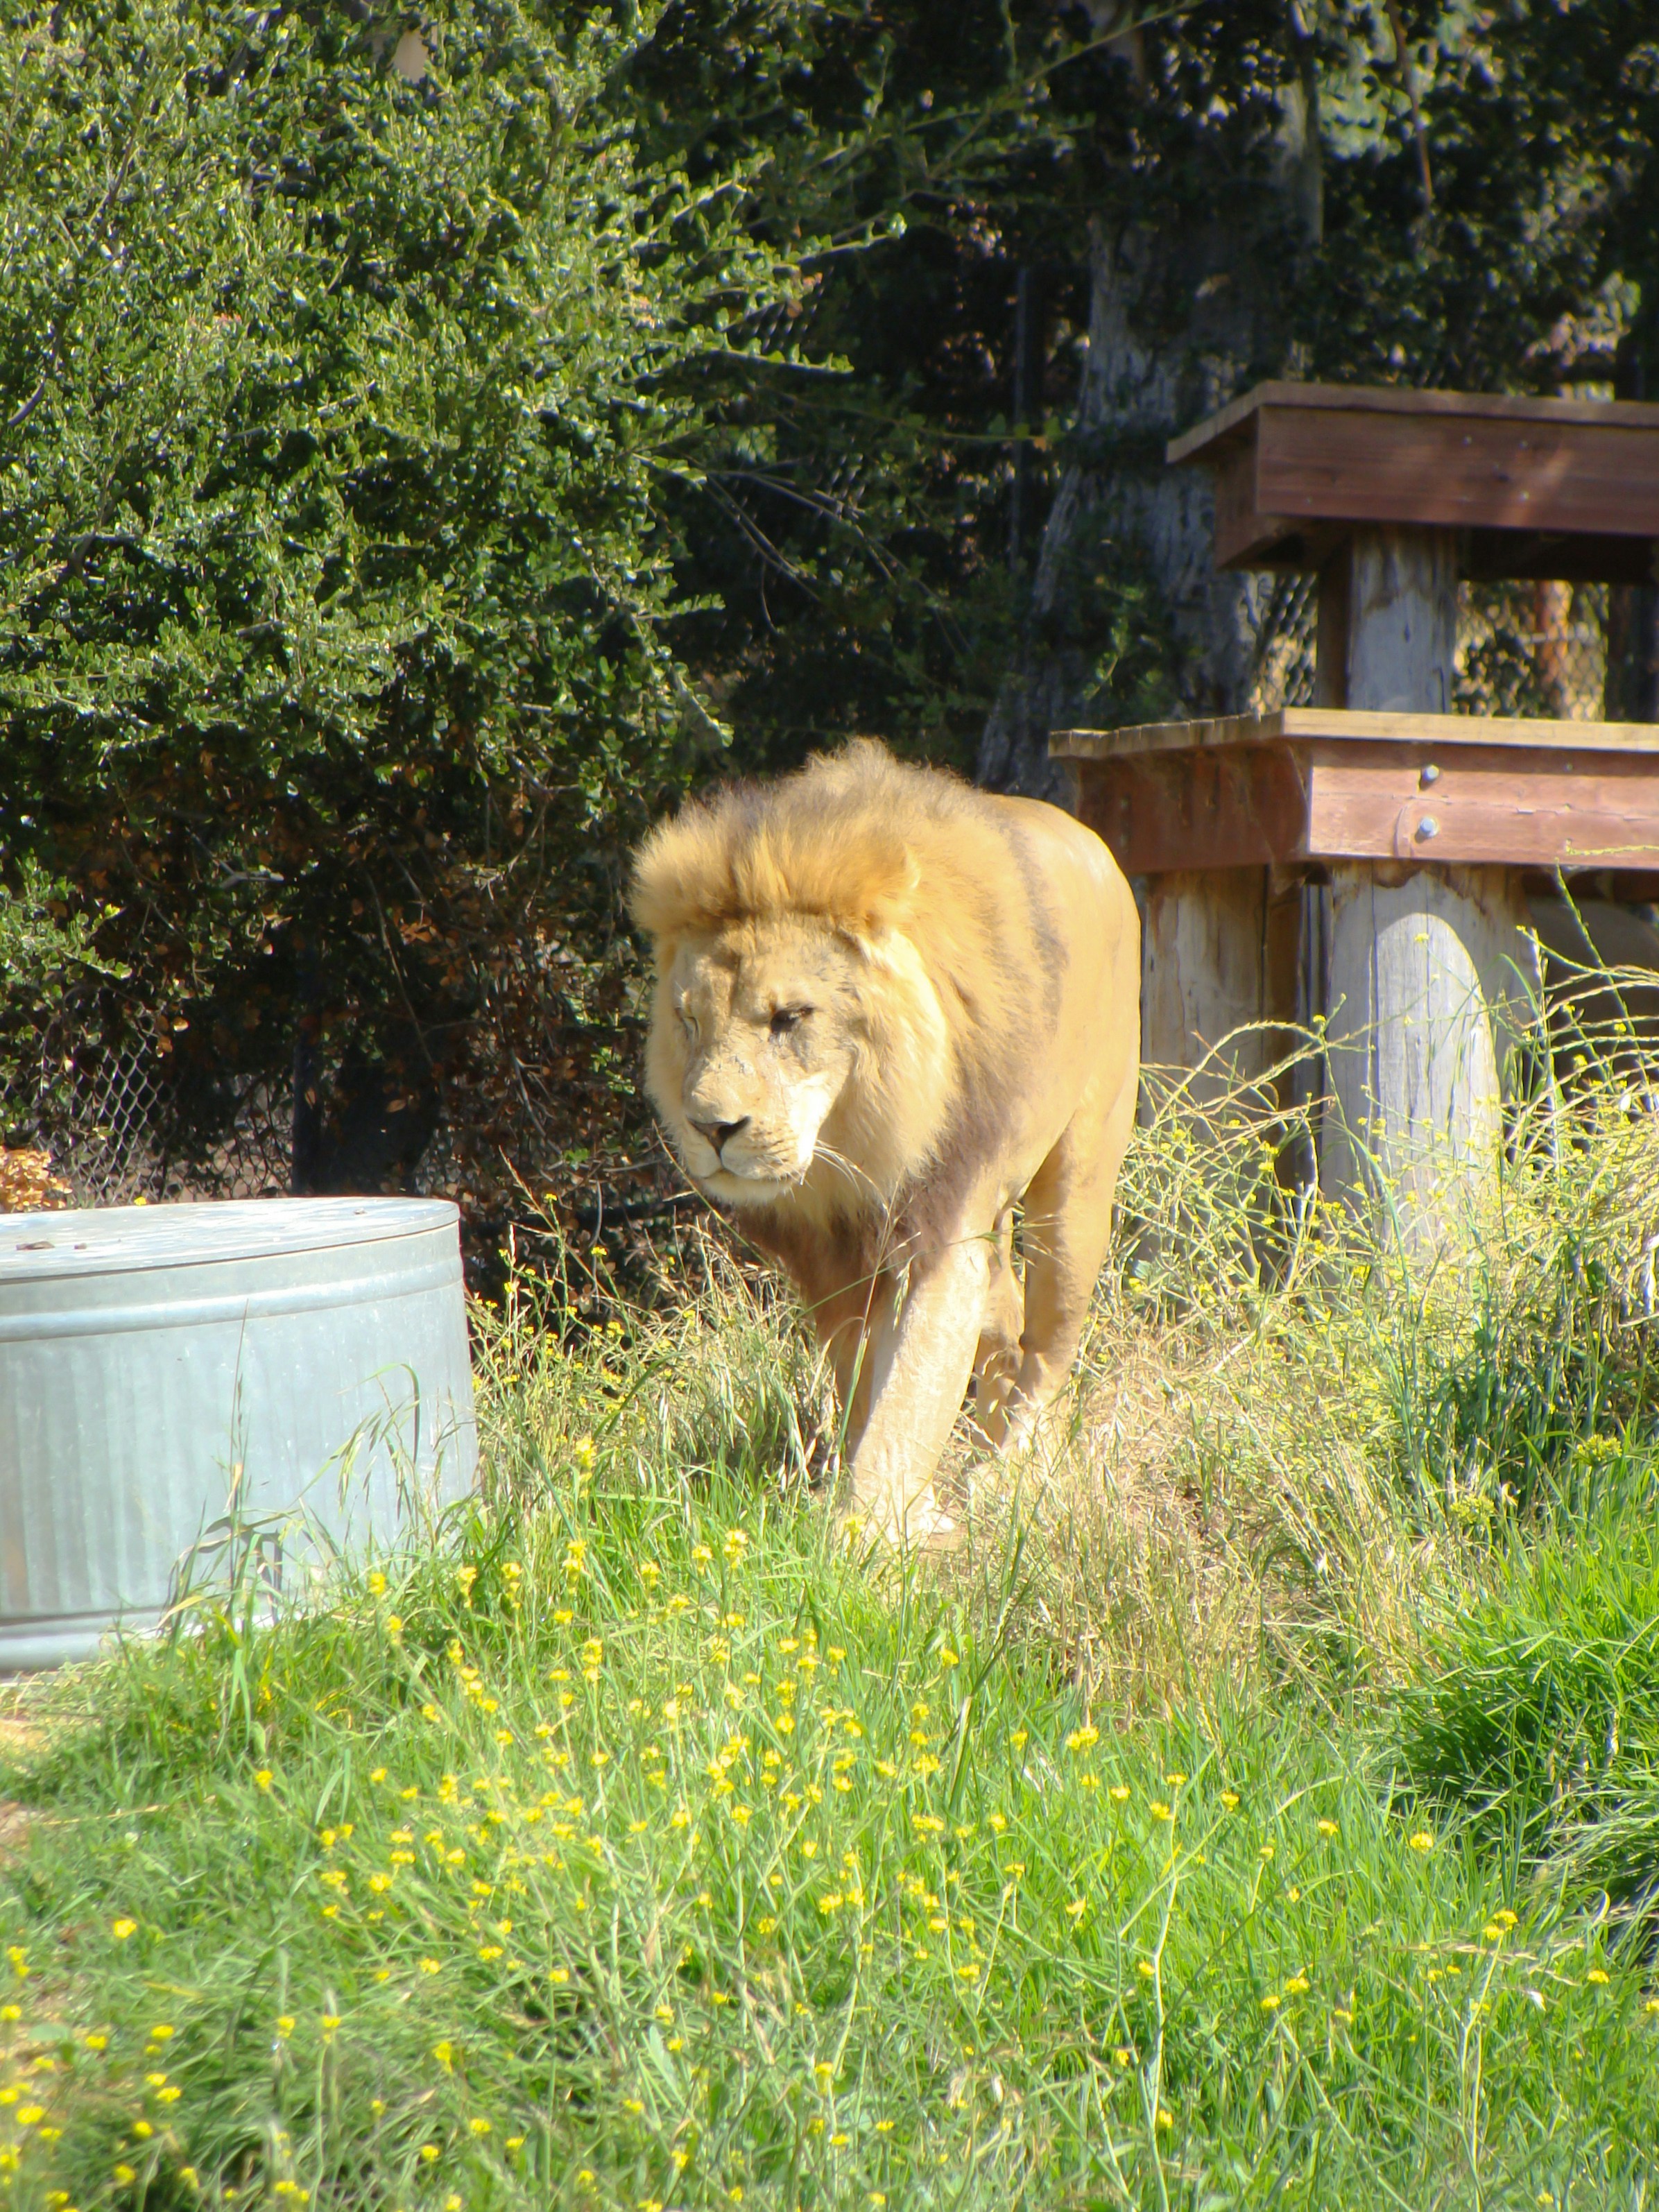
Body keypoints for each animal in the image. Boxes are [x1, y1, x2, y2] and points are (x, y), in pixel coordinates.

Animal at [629, 739, 1139, 1547]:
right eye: (689, 1021)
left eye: (790, 1017)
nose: (712, 1128)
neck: (853, 1151)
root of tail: (1091, 840)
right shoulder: (835, 1262)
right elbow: (866, 1388)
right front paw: (899, 1505)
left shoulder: (942, 1226)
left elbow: (908, 1395)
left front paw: (861, 1534)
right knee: (1005, 1325)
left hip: (1078, 1185)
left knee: (1050, 1343)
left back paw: (1010, 1475)